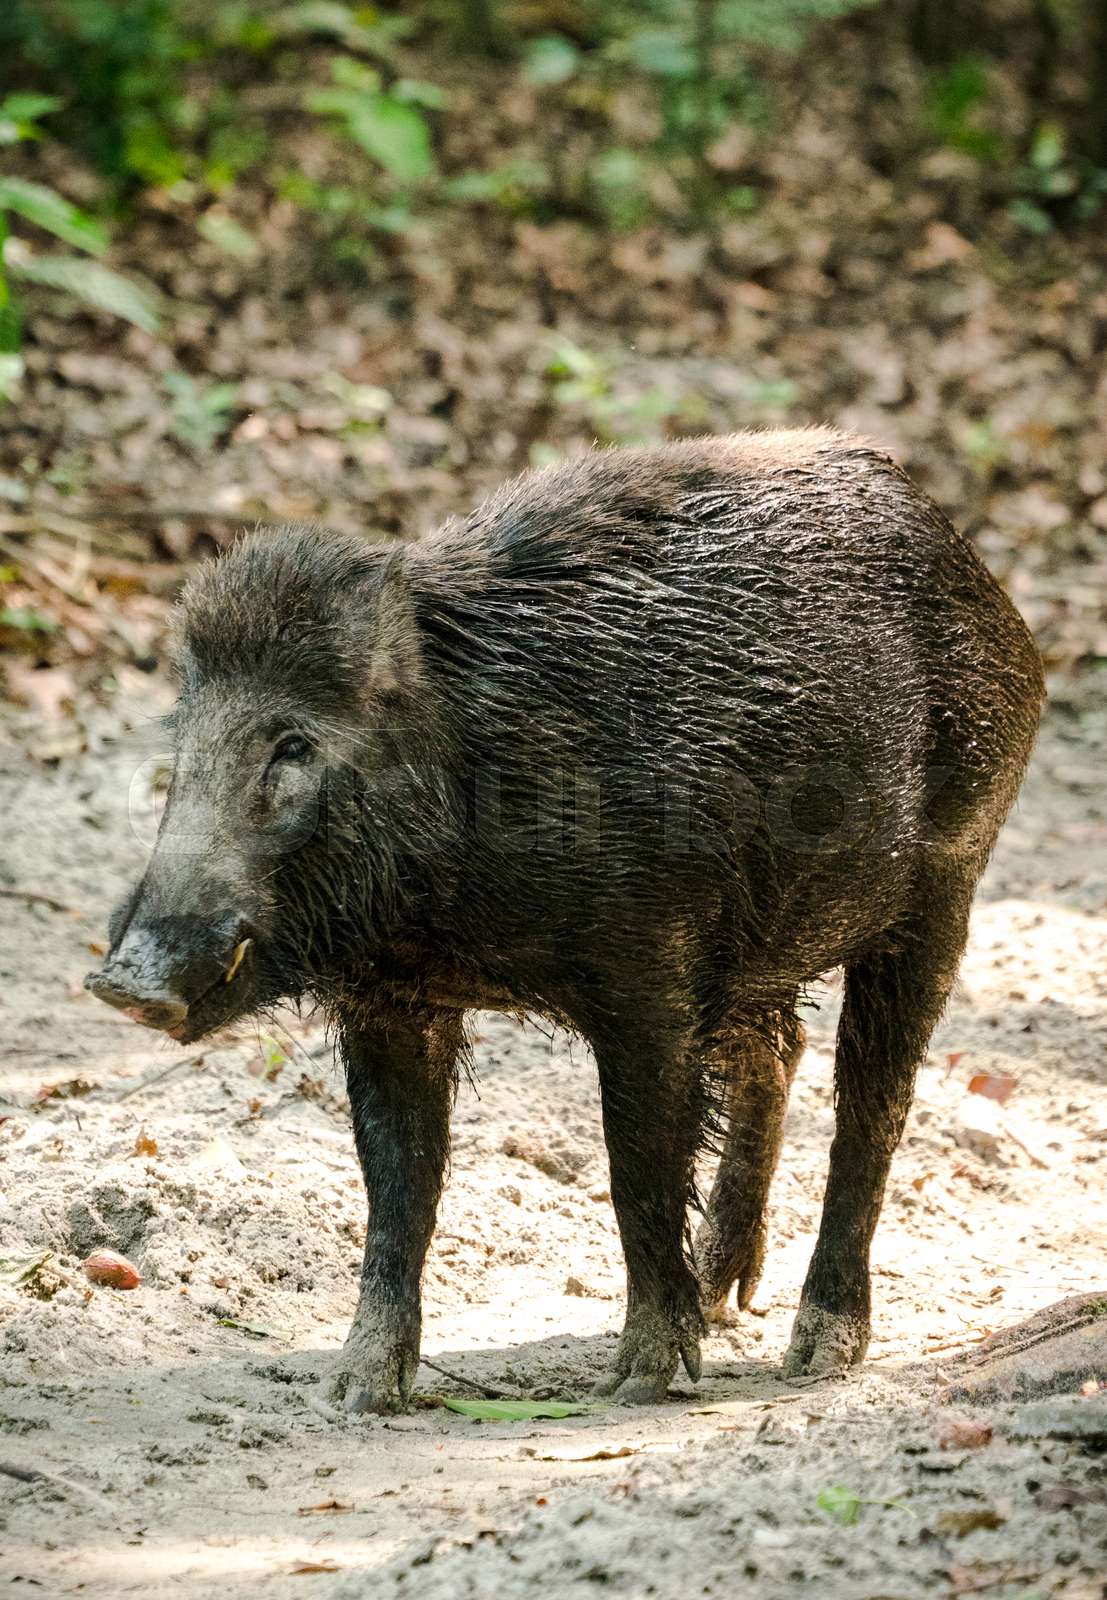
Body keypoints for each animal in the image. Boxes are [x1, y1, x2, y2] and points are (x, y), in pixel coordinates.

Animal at [86, 429, 1043, 1411]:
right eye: (183, 747)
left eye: (292, 744)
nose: (125, 980)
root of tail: (972, 567)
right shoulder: (393, 1004)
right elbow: (396, 1189)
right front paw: (354, 1391)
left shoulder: (650, 974)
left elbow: (637, 1168)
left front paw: (640, 1380)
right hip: (761, 949)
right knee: (781, 1049)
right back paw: (723, 1300)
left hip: (946, 880)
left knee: (874, 1102)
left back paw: (815, 1353)